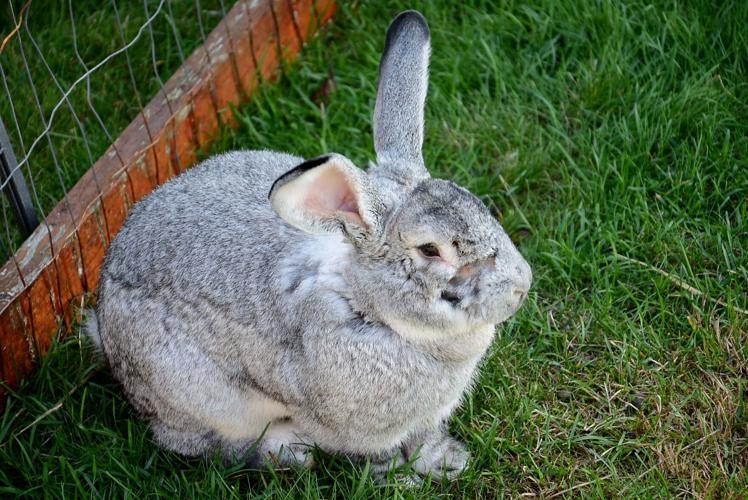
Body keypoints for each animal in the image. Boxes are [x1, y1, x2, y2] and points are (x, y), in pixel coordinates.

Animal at [89, 10, 532, 479]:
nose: (522, 285)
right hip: (198, 398)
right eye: (430, 250)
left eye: (479, 206)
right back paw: (287, 453)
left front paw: (446, 461)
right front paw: (401, 477)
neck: (369, 308)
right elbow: (375, 454)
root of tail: (103, 324)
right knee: (193, 441)